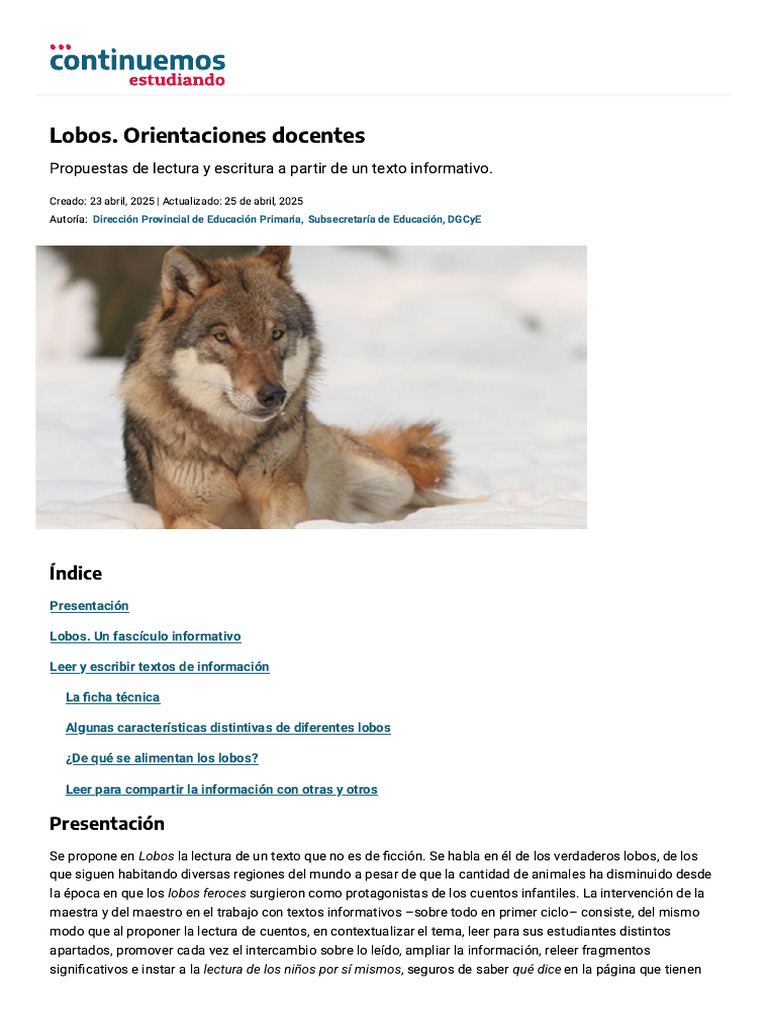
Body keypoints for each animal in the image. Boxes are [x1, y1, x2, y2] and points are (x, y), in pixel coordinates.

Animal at [121, 246, 453, 528]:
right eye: (222, 337)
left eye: (276, 333)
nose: (273, 395)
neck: (235, 445)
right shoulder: (183, 514)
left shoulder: (284, 489)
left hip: (397, 482)